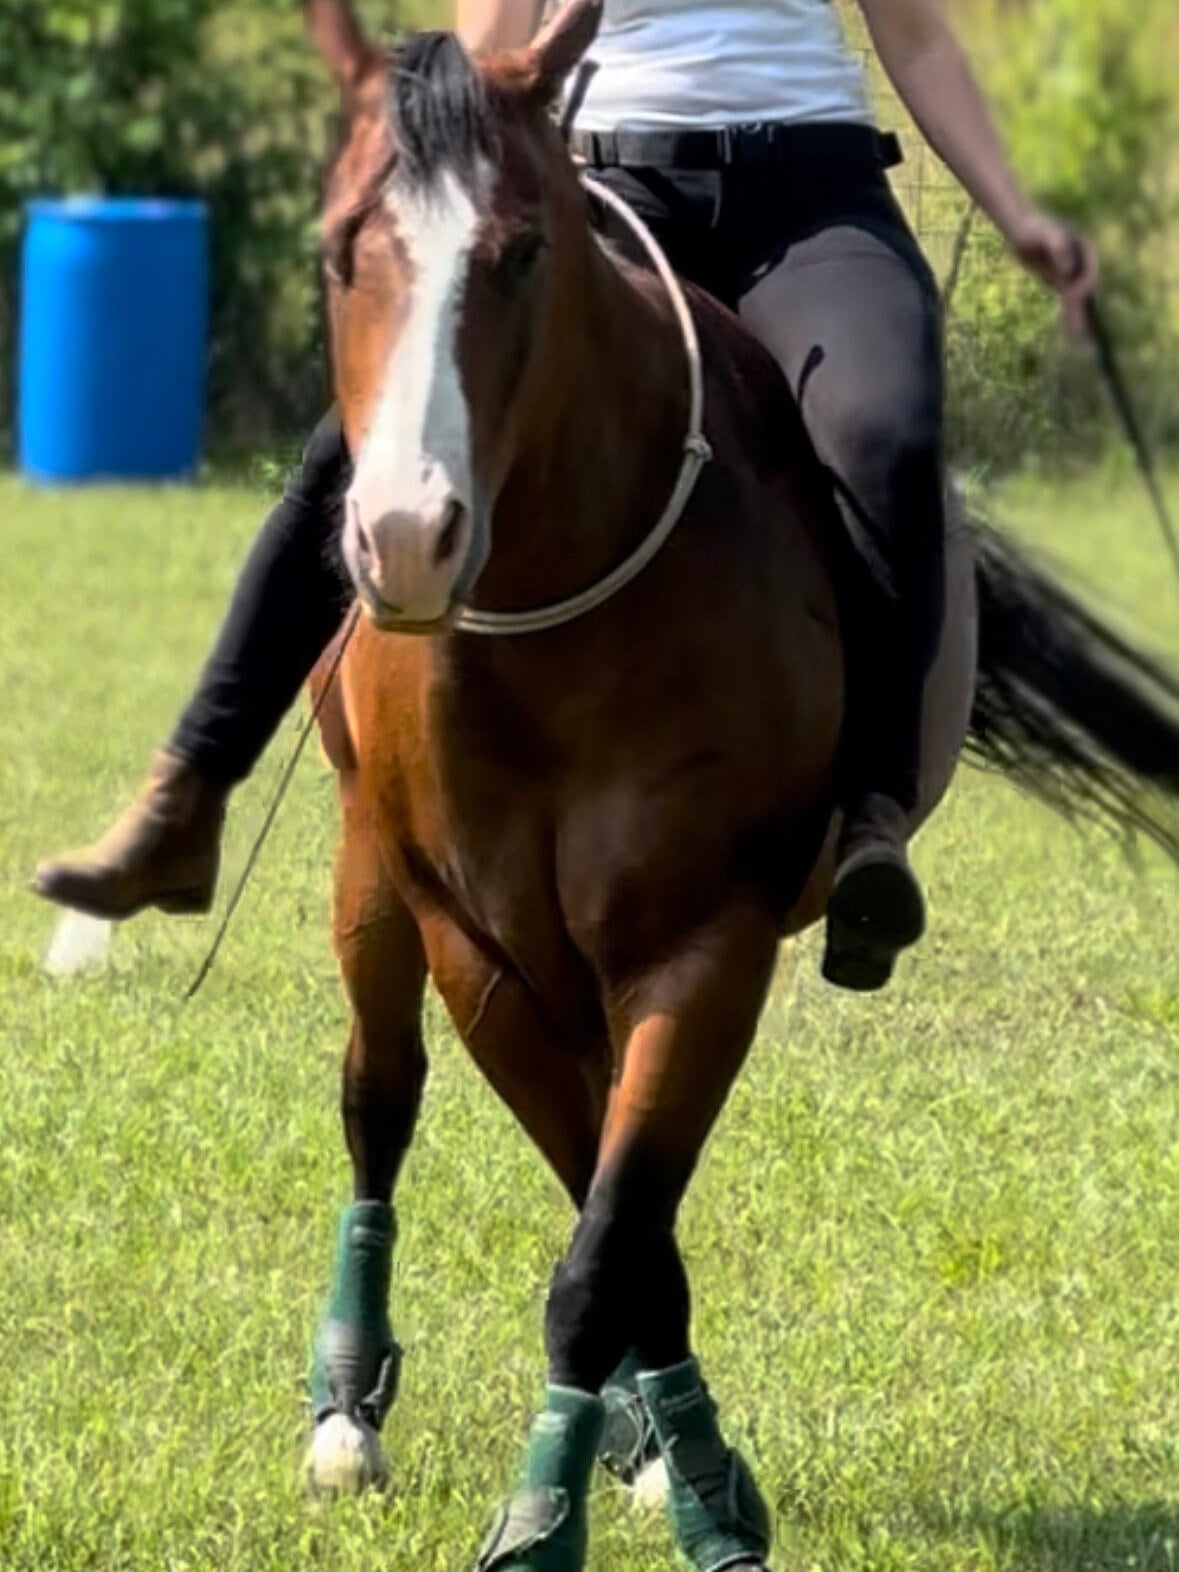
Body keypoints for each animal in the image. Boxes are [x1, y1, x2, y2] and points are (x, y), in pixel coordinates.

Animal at [298, 1, 1179, 1565]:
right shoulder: (484, 960)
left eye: (522, 251)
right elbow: (602, 1219)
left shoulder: (697, 949)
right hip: (372, 882)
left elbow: (612, 1239)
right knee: (377, 1095)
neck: (559, 615)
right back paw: (348, 1409)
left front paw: (662, 1488)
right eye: (342, 249)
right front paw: (627, 1480)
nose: (404, 537)